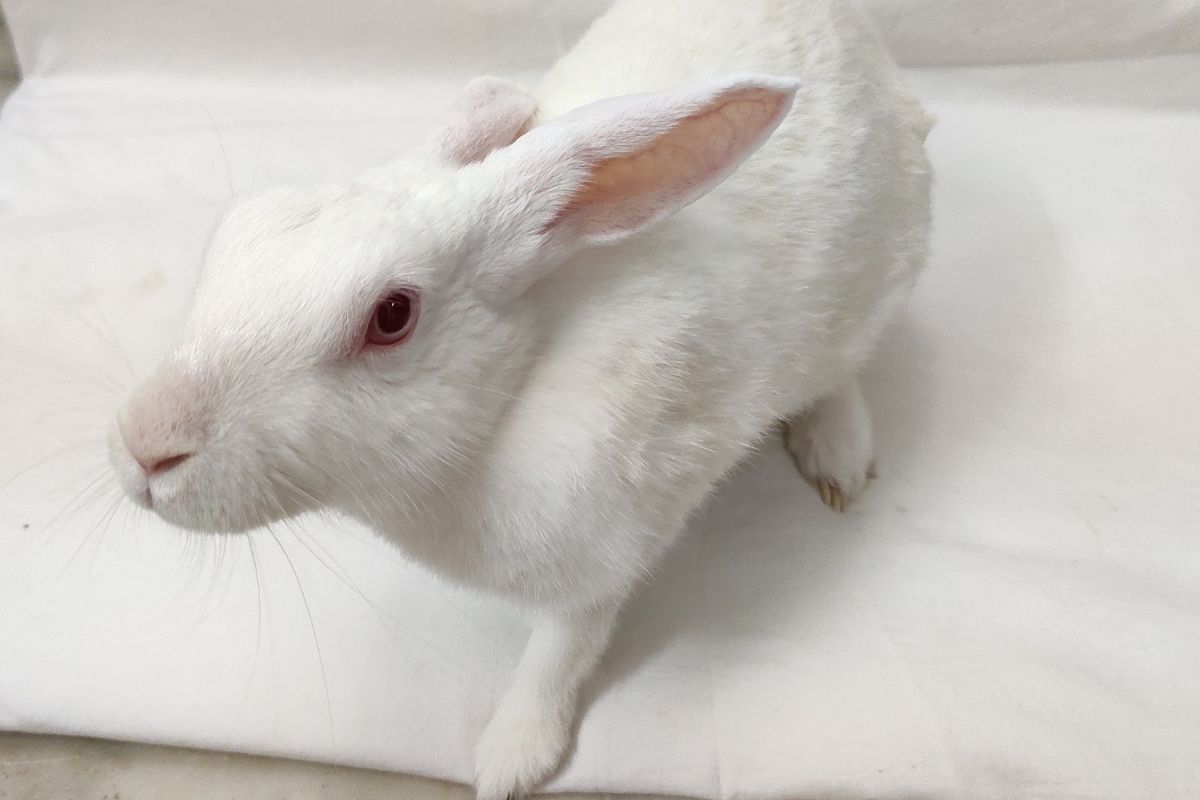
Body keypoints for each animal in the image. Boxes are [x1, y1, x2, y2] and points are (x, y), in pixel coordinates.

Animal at [107, 0, 932, 797]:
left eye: (391, 316)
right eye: (239, 225)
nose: (145, 447)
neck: (508, 400)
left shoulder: (604, 554)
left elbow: (559, 656)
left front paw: (510, 759)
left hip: (871, 292)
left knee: (839, 374)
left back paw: (838, 456)